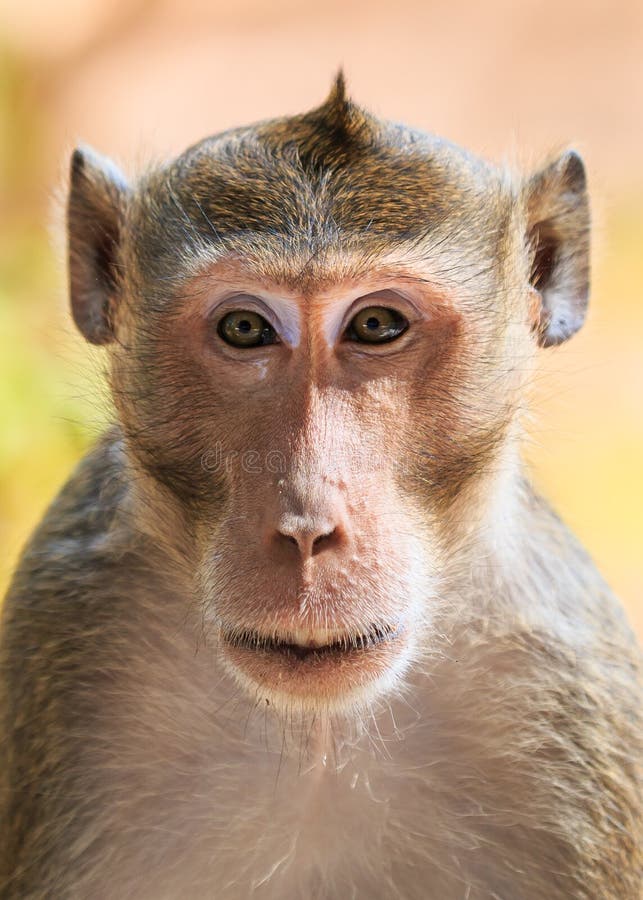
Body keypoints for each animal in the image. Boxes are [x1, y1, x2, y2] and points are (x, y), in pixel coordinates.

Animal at [0, 72, 641, 899]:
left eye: (375, 324)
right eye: (245, 329)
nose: (305, 528)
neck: (318, 735)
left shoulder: (572, 692)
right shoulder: (62, 628)